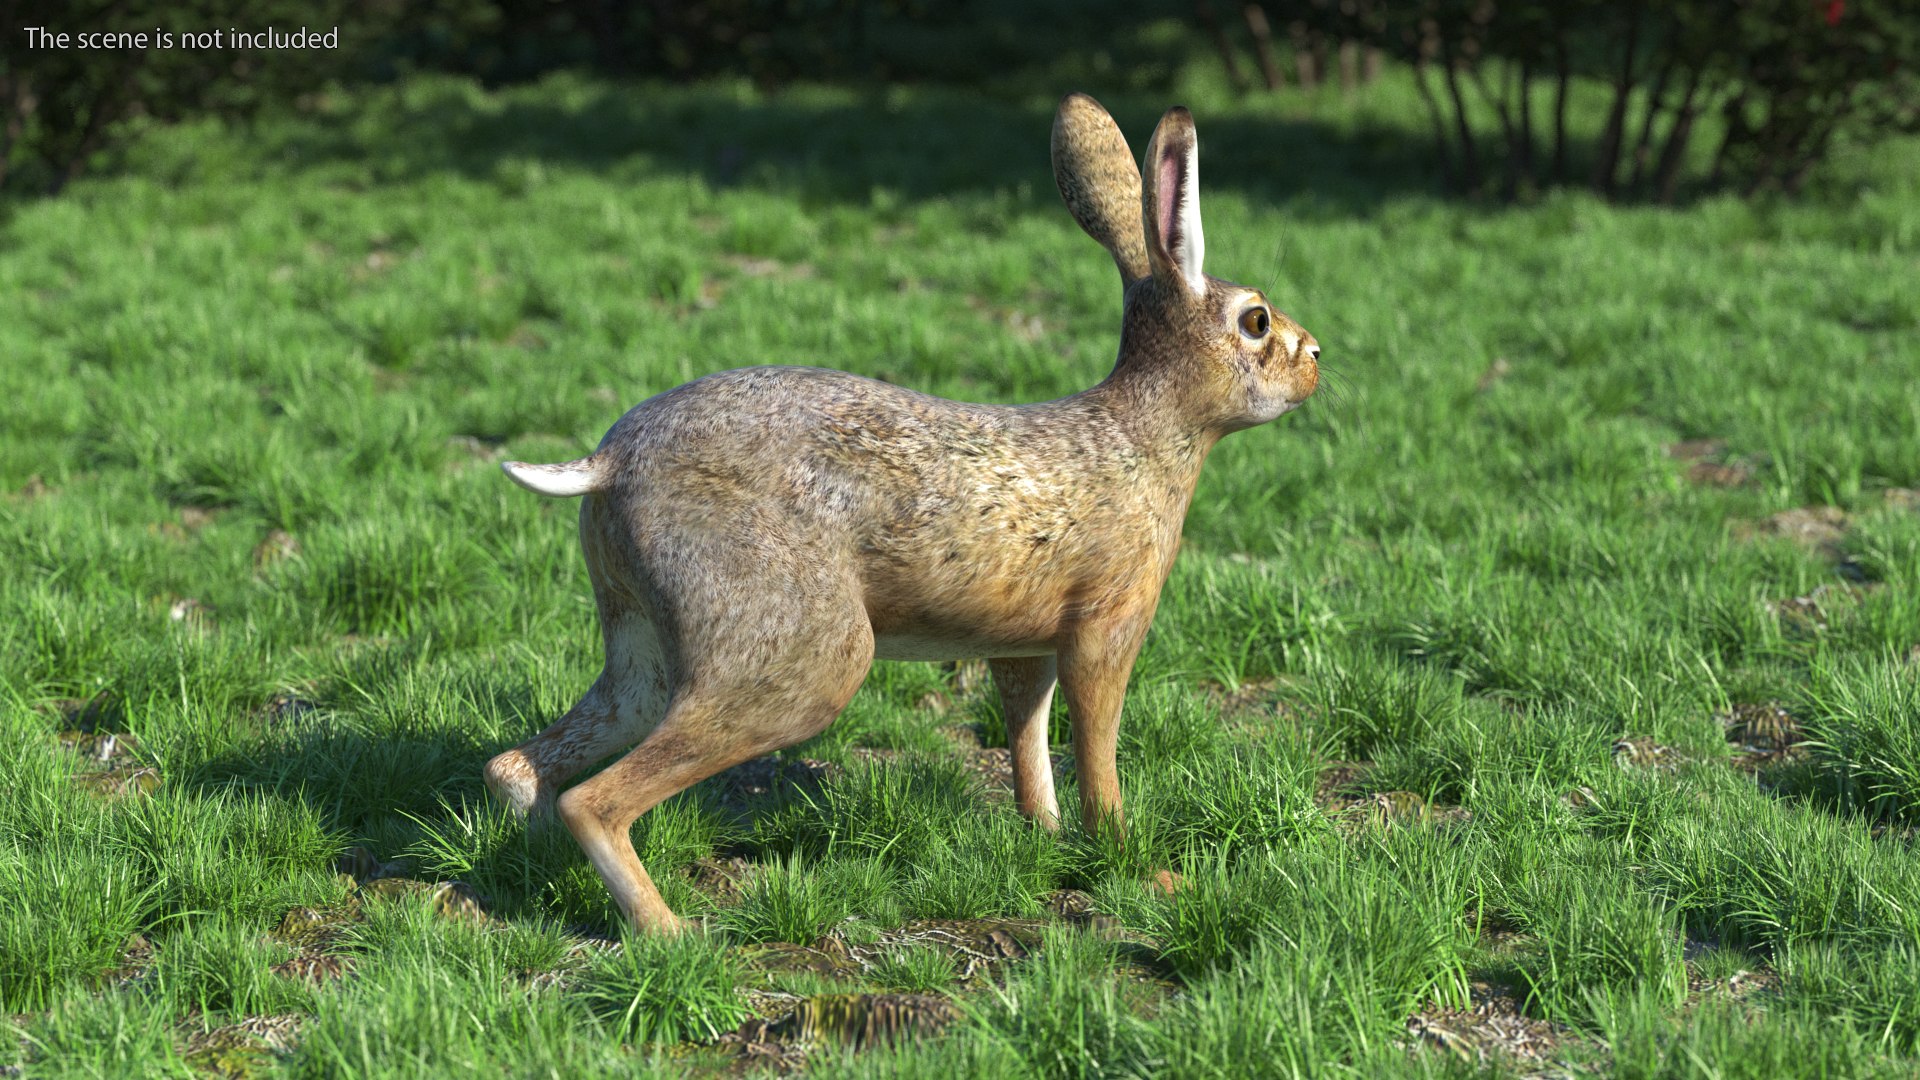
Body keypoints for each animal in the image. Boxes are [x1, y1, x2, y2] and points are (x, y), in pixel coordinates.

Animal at [485, 93, 1319, 935]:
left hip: (643, 645)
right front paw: (1137, 867)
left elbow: (1027, 736)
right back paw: (673, 933)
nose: (1315, 357)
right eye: (1255, 321)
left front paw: (1045, 837)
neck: (1148, 431)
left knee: (522, 767)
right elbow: (1095, 745)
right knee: (596, 801)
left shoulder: (1024, 647)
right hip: (797, 653)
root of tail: (609, 464)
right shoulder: (1105, 626)